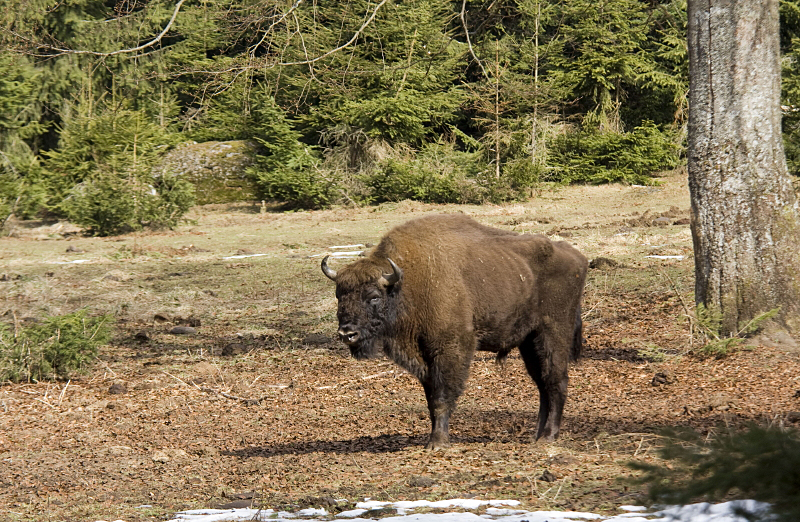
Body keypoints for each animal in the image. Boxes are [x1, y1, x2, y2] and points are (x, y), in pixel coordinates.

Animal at [321, 214, 587, 449]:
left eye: (374, 296)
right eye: (339, 296)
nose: (347, 334)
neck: (408, 282)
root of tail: (578, 258)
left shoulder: (450, 348)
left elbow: (442, 396)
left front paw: (437, 443)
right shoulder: (425, 361)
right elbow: (431, 400)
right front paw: (435, 438)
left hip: (552, 333)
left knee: (556, 380)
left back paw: (548, 437)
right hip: (529, 342)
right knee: (542, 384)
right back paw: (537, 435)